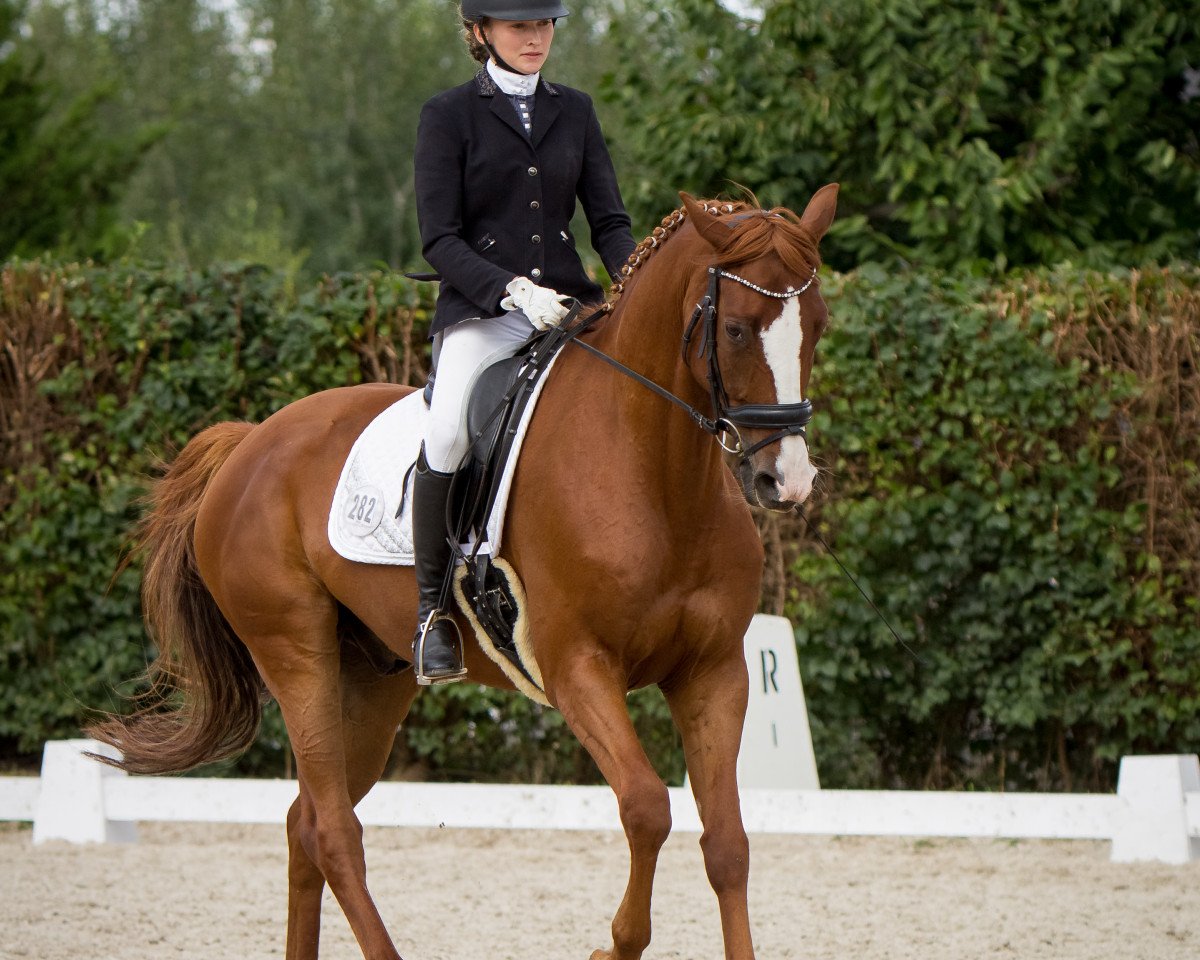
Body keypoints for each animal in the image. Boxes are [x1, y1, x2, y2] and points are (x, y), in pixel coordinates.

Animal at [88, 184, 839, 960]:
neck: (657, 476)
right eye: (739, 331)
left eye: (816, 324)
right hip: (295, 653)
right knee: (333, 830)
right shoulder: (577, 668)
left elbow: (728, 845)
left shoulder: (714, 672)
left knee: (305, 821)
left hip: (373, 679)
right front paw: (613, 946)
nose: (785, 481)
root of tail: (249, 443)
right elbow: (646, 807)